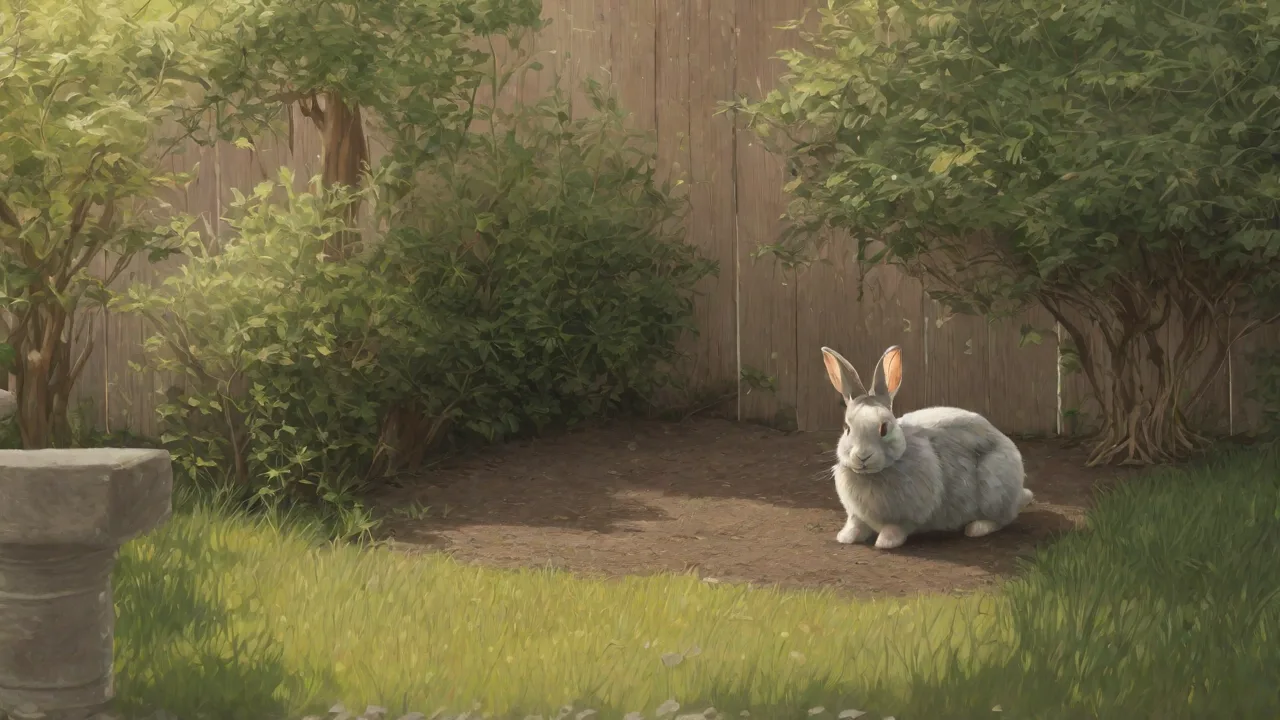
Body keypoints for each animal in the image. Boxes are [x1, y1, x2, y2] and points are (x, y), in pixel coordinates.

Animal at [820, 344, 1034, 550]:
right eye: (847, 428)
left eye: (884, 428)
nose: (863, 456)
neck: (875, 474)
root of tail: (1019, 492)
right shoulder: (856, 515)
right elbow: (855, 525)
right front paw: (845, 537)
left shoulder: (907, 516)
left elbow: (895, 528)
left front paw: (885, 543)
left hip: (994, 489)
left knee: (1001, 519)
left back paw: (976, 528)